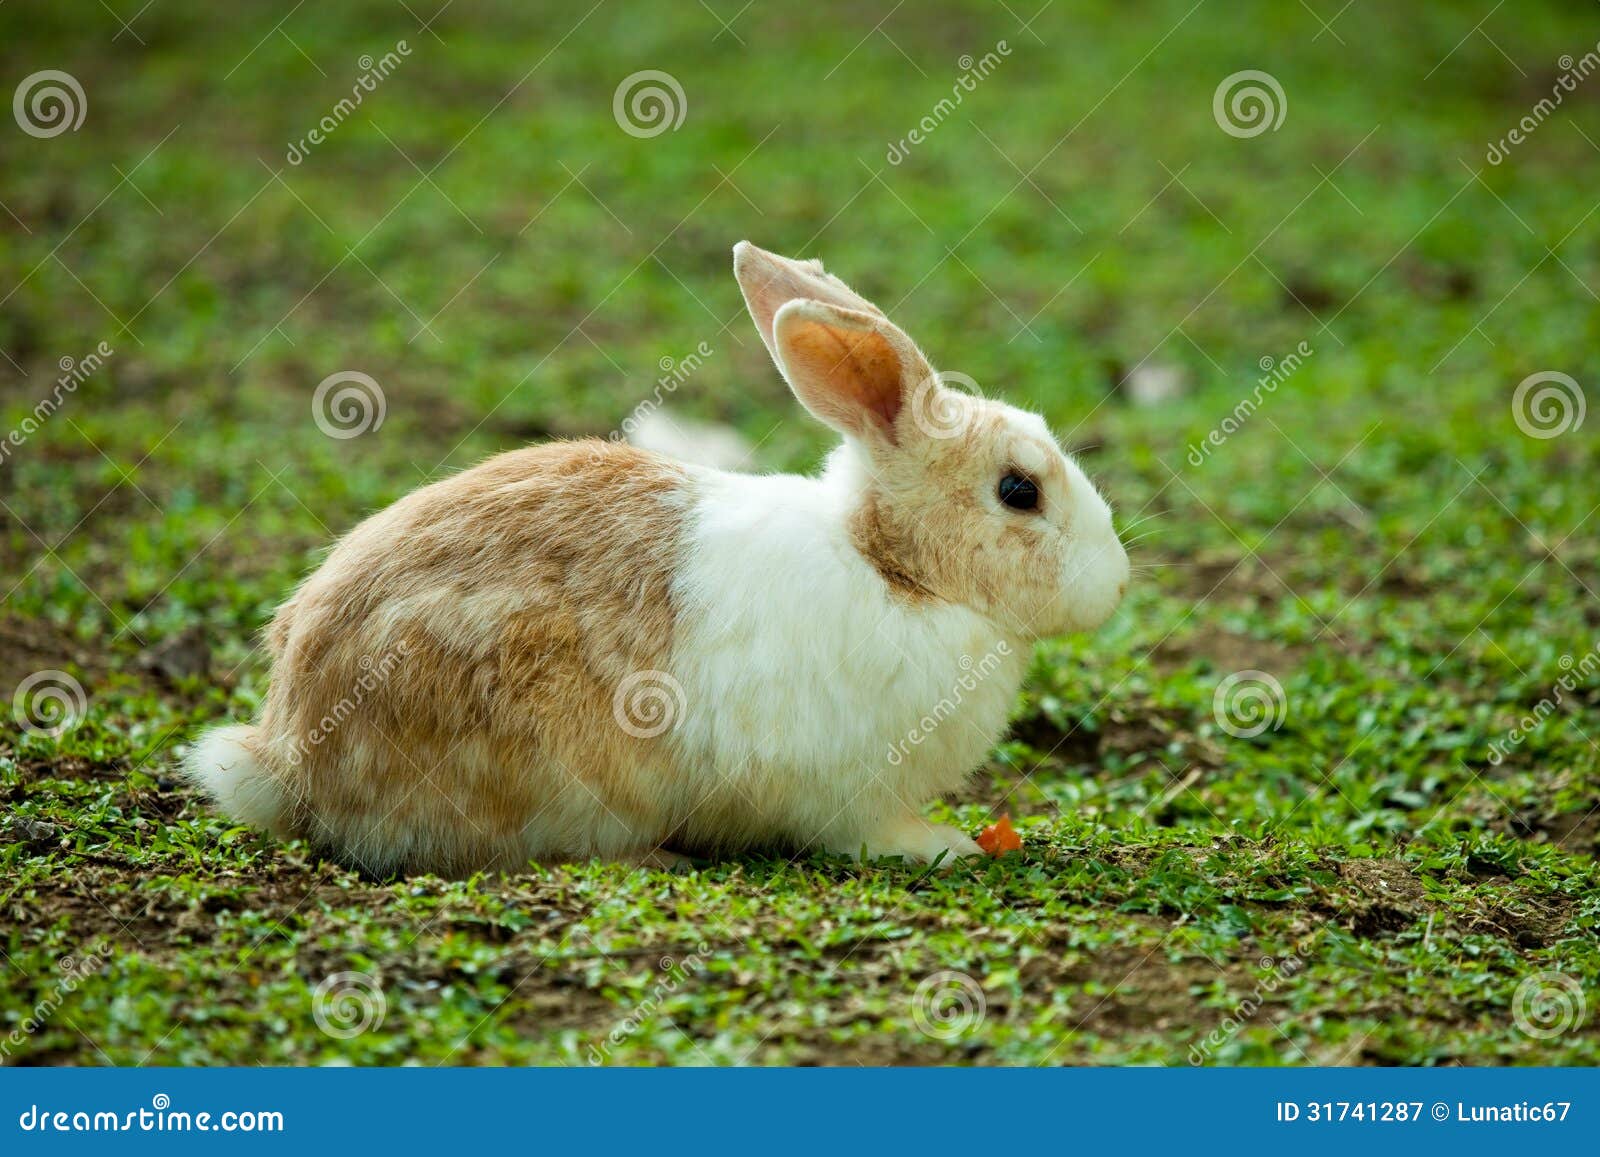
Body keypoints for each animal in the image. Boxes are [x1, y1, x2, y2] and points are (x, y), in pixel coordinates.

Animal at [184, 242, 1130, 876]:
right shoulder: (848, 792)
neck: (892, 568)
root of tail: (287, 756)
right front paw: (947, 844)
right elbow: (865, 830)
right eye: (1019, 491)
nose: (1116, 583)